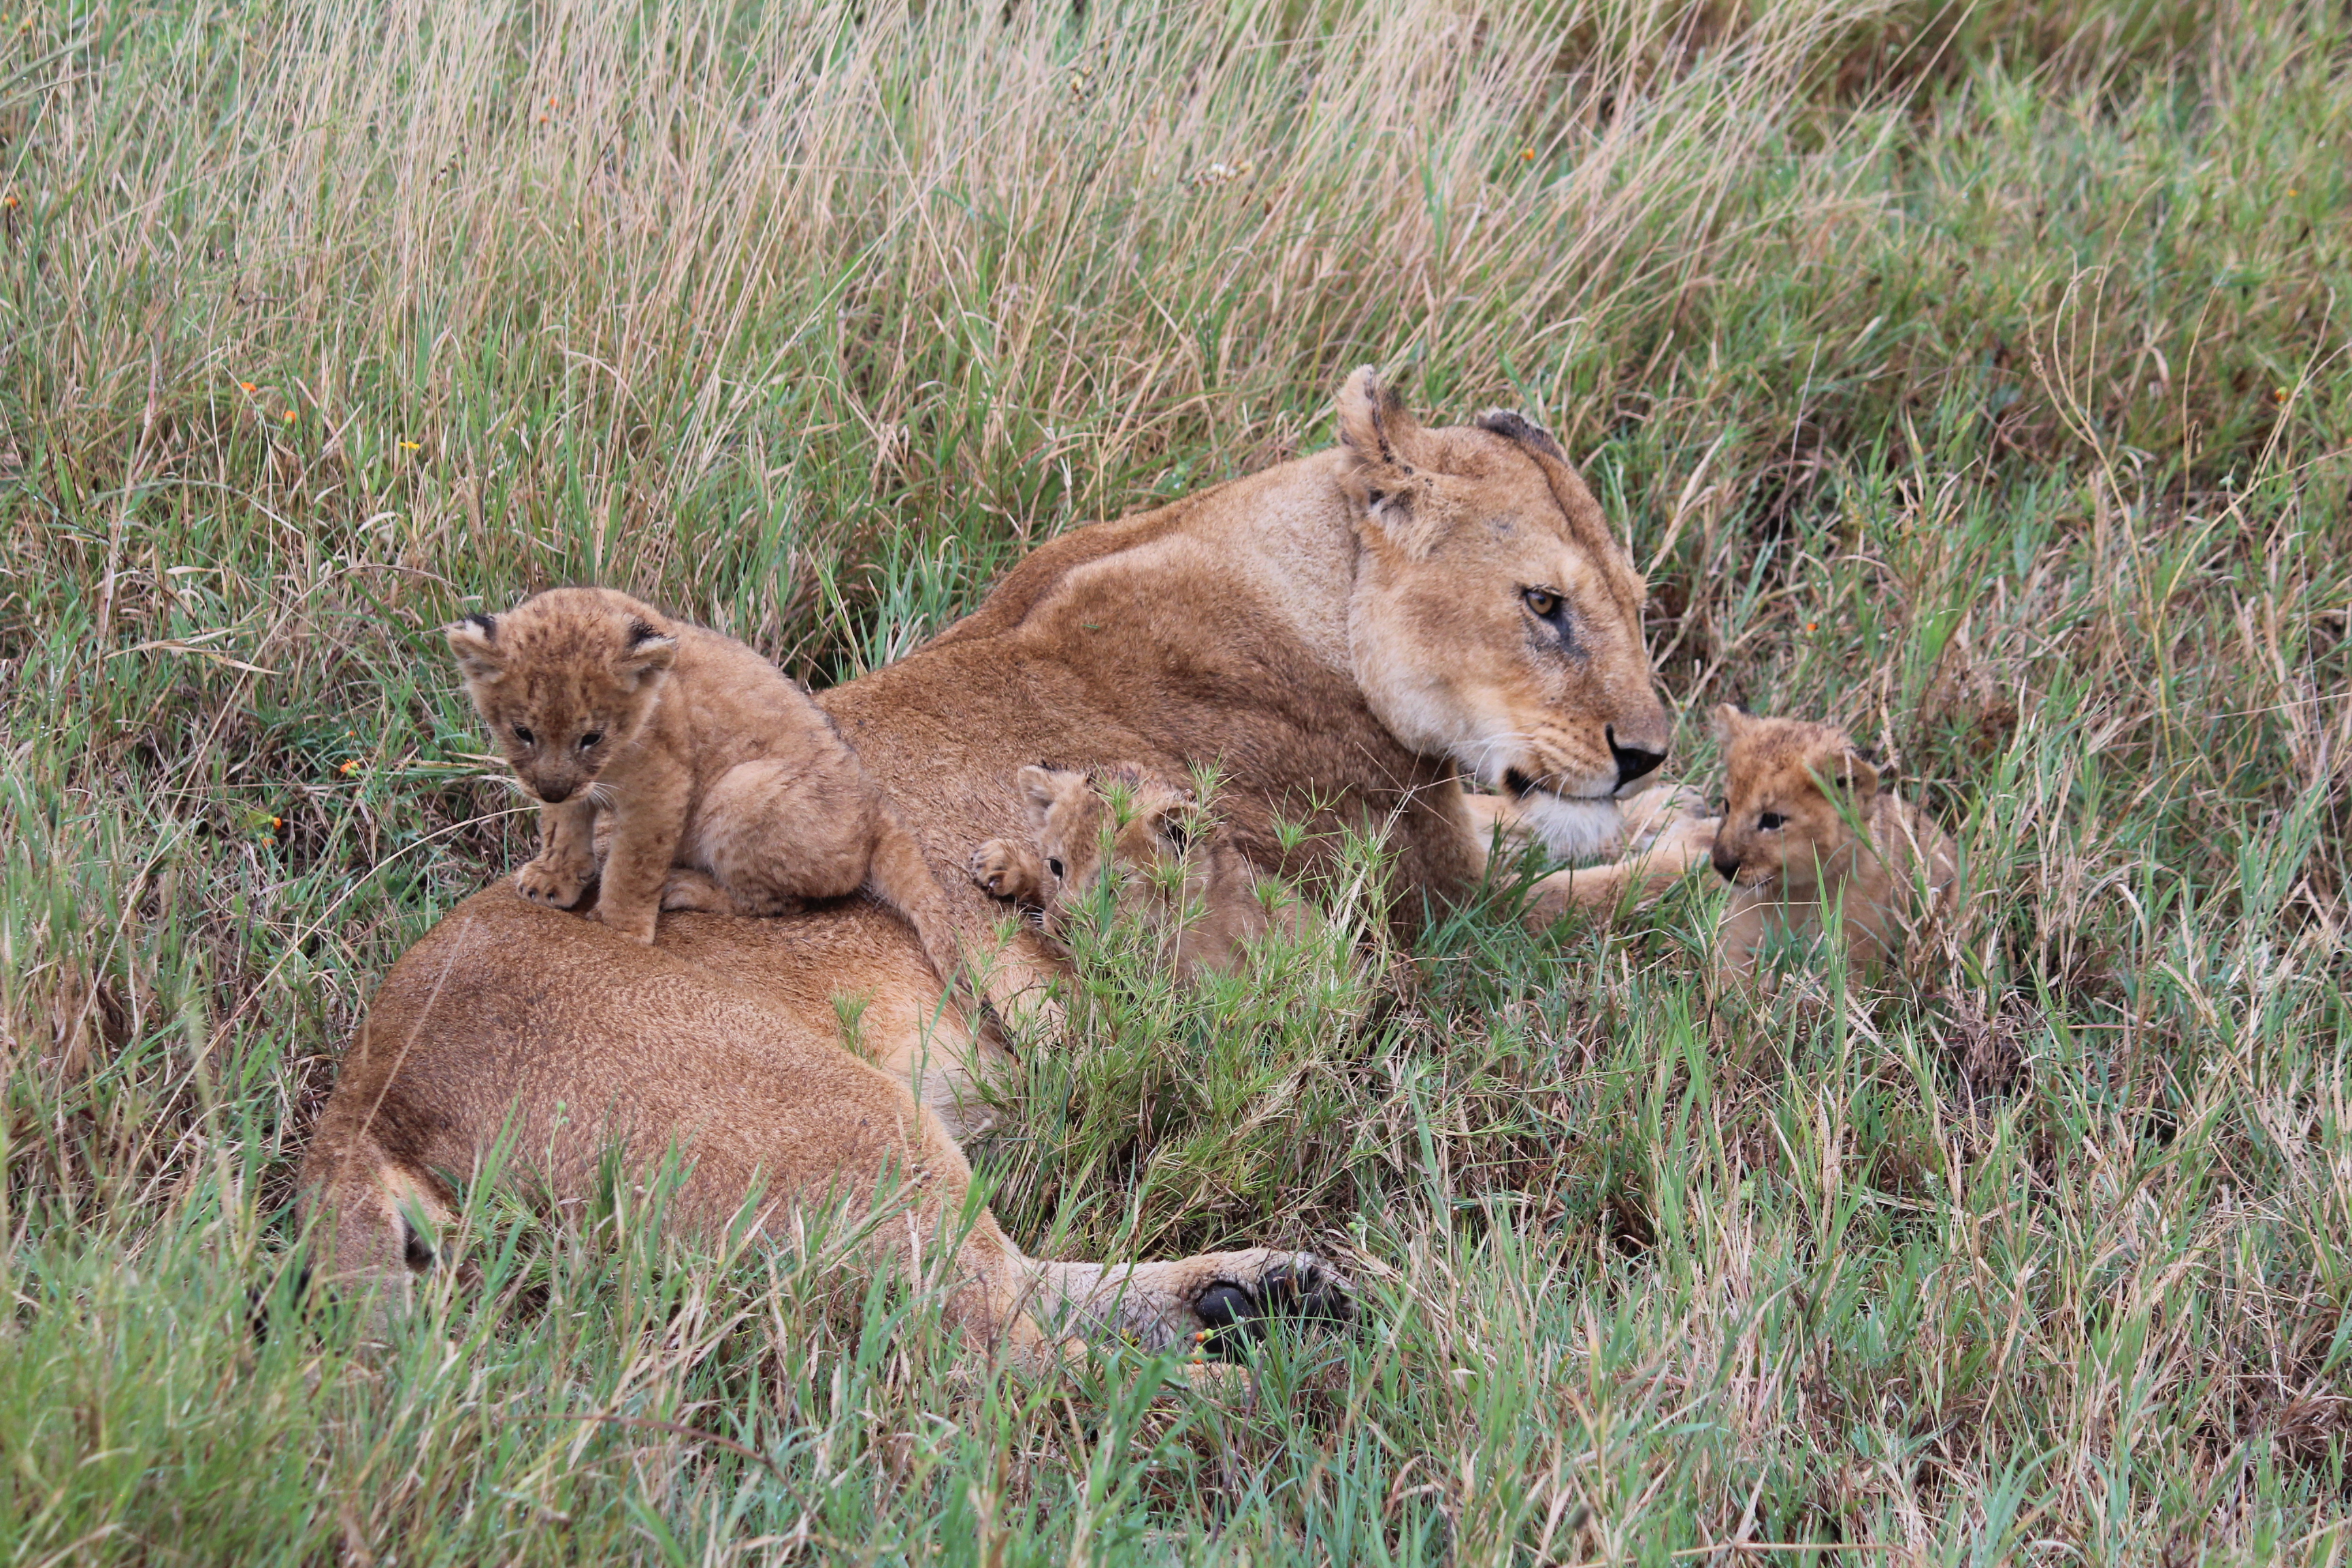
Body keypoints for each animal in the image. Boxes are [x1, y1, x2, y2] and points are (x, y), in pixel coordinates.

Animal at [300, 368, 1715, 1365]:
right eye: (1543, 605)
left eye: (1638, 599)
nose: (1645, 744)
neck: (1297, 582)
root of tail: (360, 1092)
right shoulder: (1424, 927)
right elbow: (1592, 892)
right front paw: (1715, 840)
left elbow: (1554, 827)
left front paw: (1696, 796)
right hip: (847, 1121)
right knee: (1004, 1361)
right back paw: (1222, 1385)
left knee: (1011, 1286)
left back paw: (1259, 1290)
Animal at [1708, 705, 1959, 978]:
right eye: (1727, 805)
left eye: (1772, 820)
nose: (1722, 866)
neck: (1795, 894)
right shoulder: (1738, 942)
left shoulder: (1855, 957)